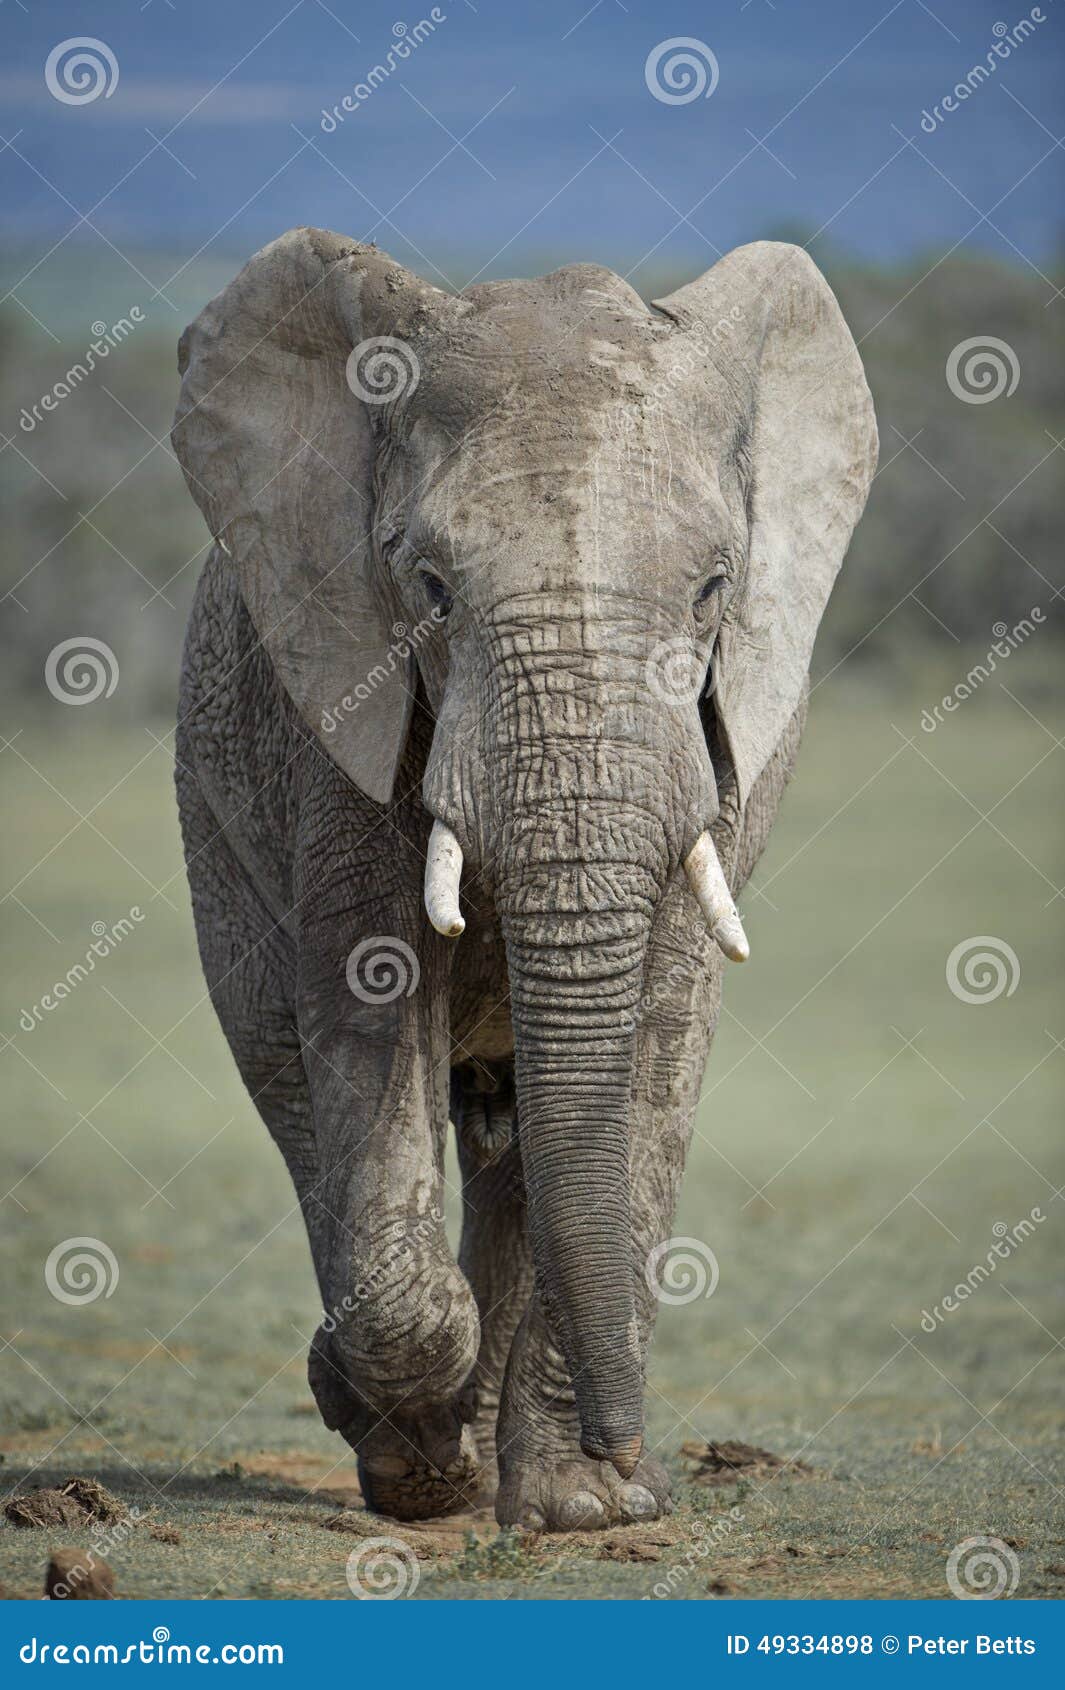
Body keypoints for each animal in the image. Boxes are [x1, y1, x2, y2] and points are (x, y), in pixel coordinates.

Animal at [170, 227, 876, 1532]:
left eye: (713, 589)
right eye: (432, 590)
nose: (638, 1456)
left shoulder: (726, 746)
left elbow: (654, 1042)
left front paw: (583, 1509)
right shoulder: (346, 700)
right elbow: (368, 1000)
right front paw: (426, 1459)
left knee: (513, 1151)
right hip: (216, 820)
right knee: (290, 1082)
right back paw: (392, 1428)